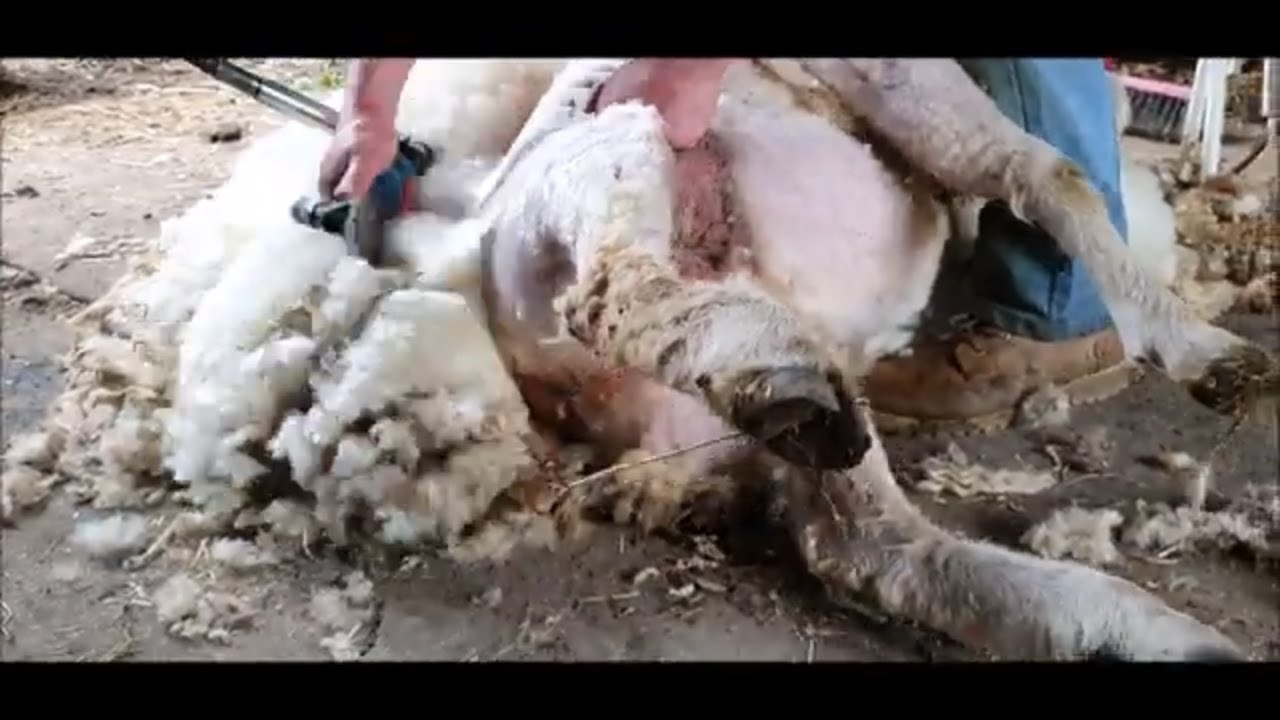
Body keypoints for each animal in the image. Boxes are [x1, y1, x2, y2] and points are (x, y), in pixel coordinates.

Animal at [7, 58, 1268, 662]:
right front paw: (1192, 343)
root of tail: (475, 243)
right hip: (616, 150)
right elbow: (1039, 172)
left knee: (882, 548)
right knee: (618, 282)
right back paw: (775, 370)